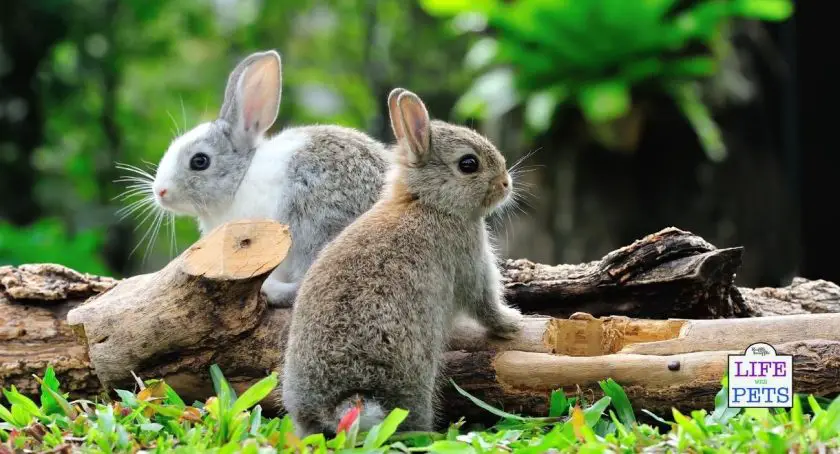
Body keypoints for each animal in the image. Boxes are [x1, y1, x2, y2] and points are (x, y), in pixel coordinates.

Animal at [281, 88, 525, 437]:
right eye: (469, 164)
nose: (506, 184)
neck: (427, 202)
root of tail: (338, 404)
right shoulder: (470, 260)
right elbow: (485, 304)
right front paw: (512, 323)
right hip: (413, 379)